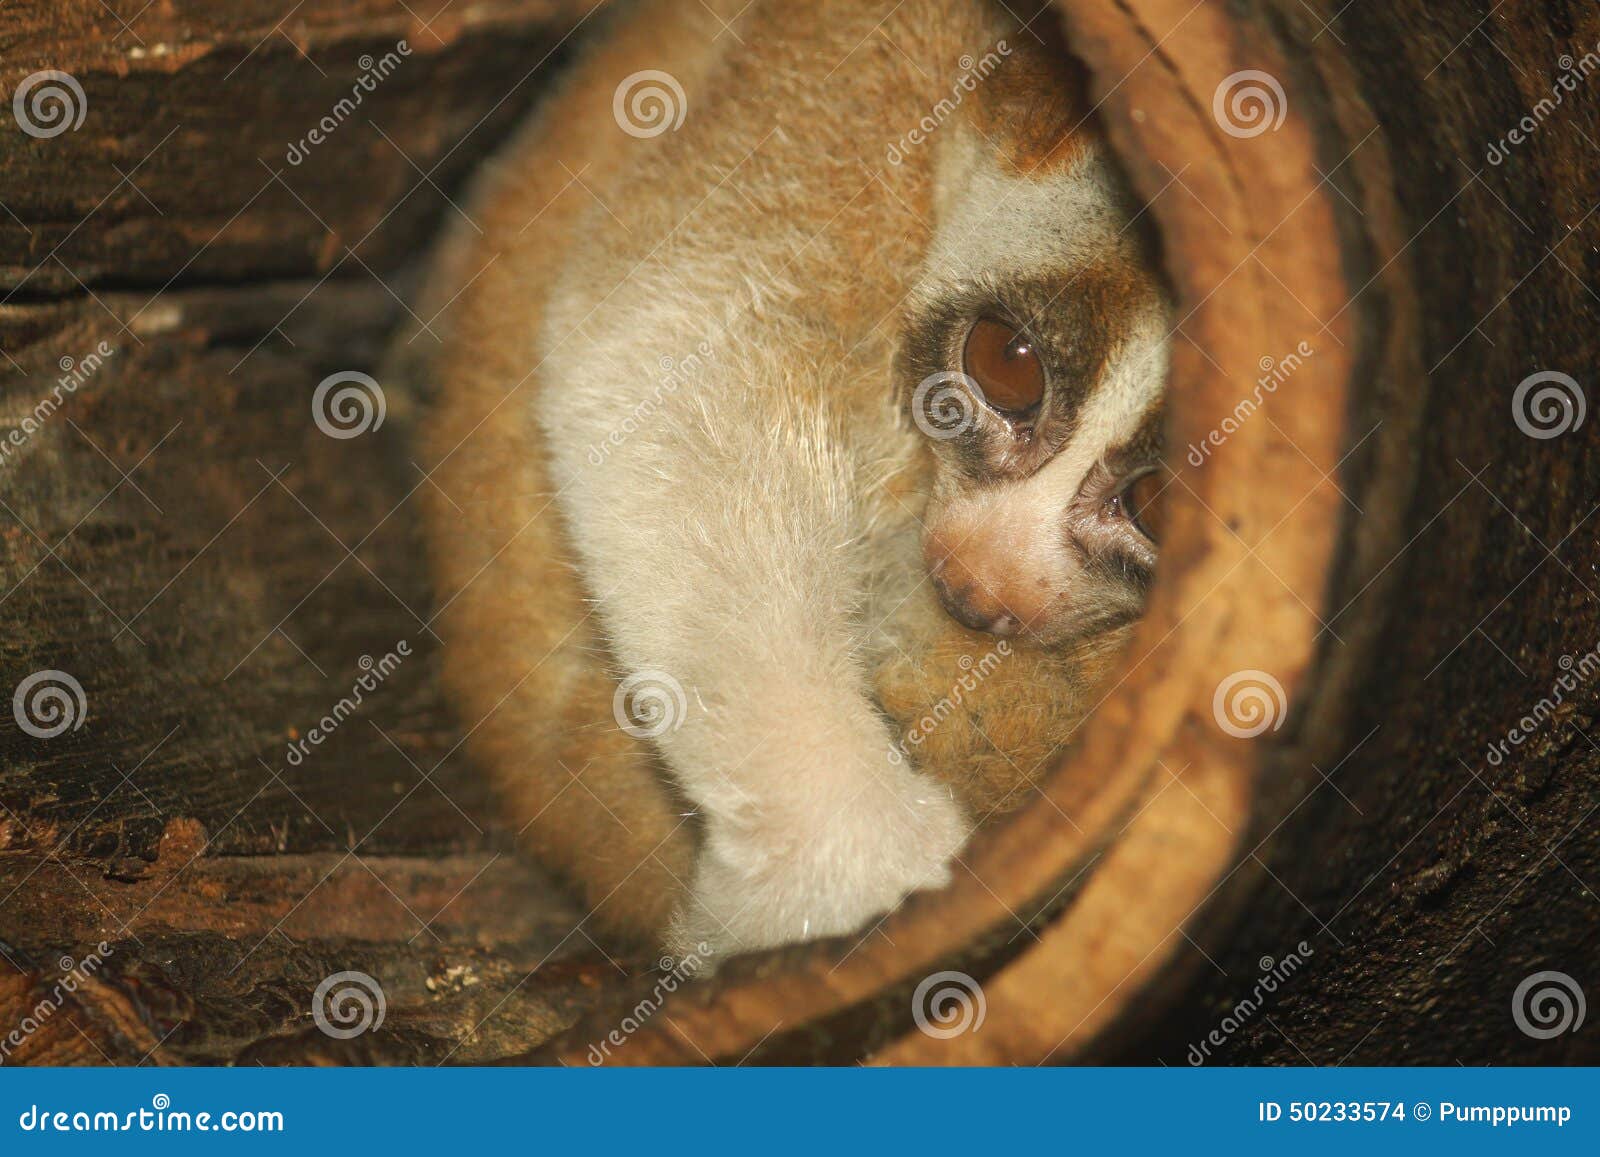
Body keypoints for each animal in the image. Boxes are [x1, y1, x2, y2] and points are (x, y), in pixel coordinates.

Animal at [398, 0, 1171, 962]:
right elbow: (669, 325)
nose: (972, 582)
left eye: (1155, 506)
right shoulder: (873, 87)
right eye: (1007, 364)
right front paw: (846, 865)